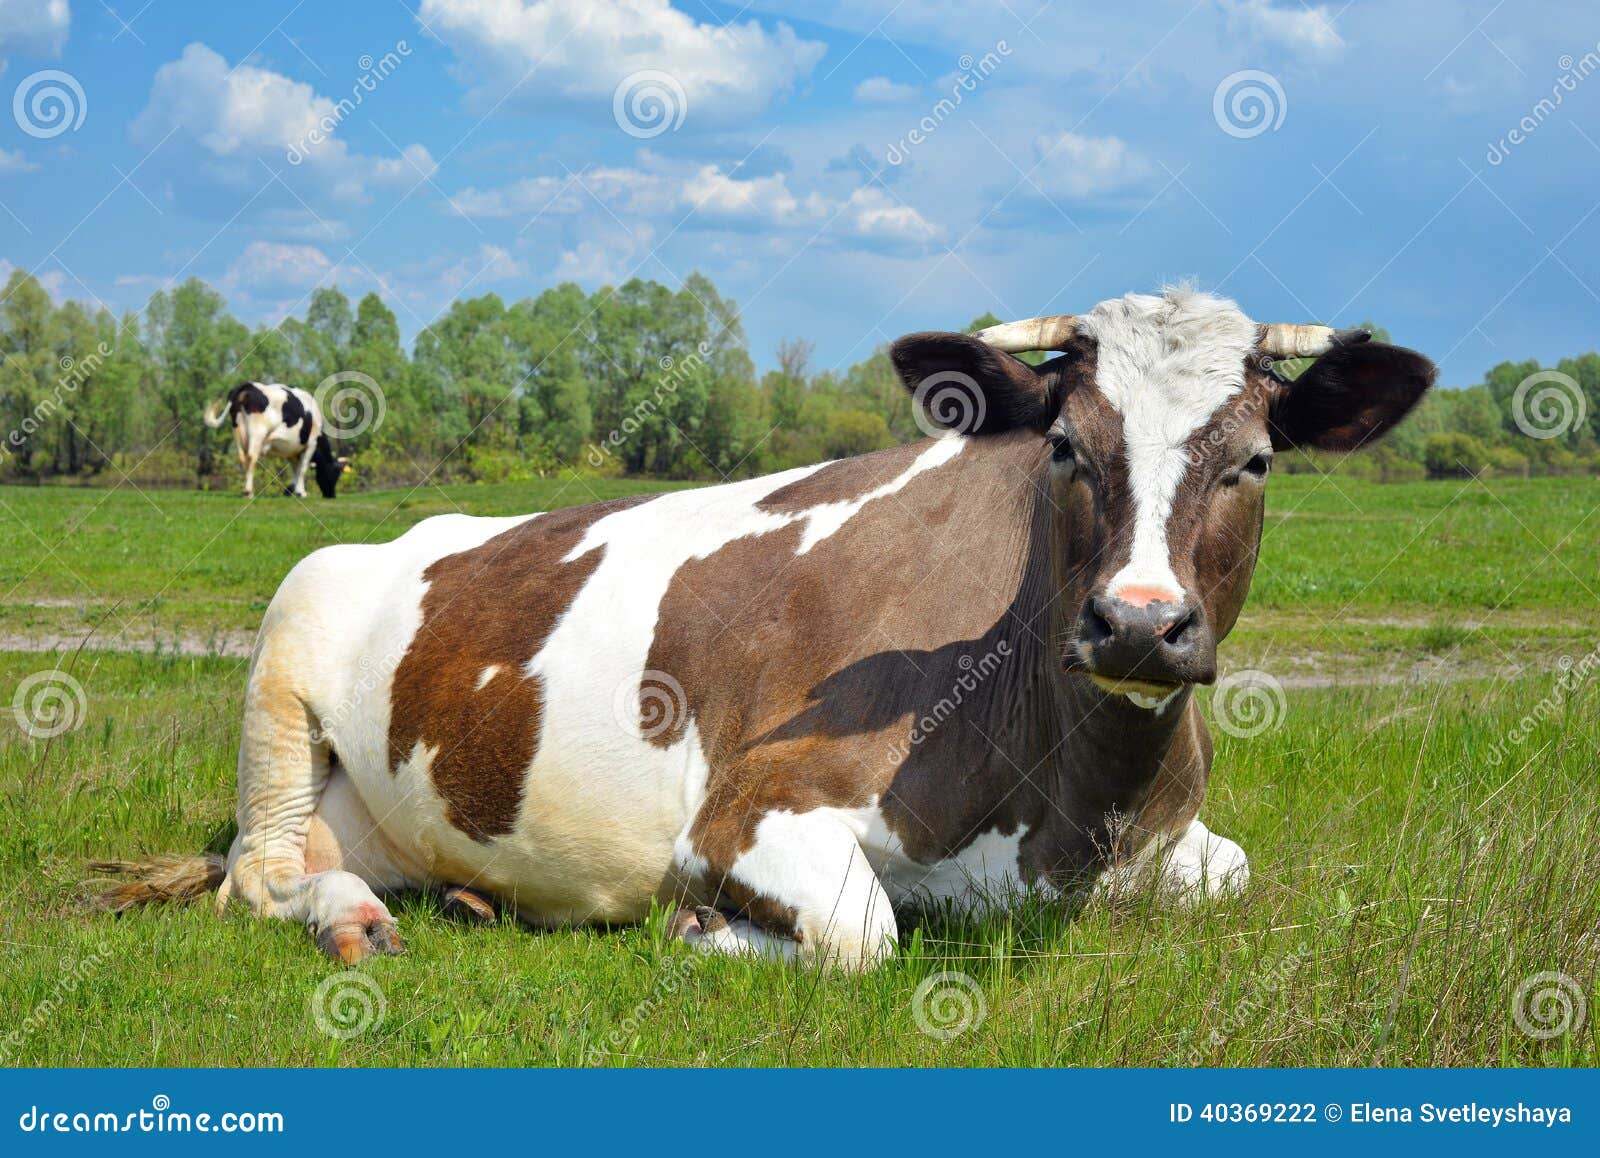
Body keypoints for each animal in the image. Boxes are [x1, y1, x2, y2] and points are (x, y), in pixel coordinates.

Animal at [203, 381, 348, 499]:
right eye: (335, 473)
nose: (332, 495)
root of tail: (248, 385)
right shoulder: (311, 444)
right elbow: (302, 469)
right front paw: (301, 492)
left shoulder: (292, 451)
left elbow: (295, 469)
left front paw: (291, 491)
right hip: (257, 431)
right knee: (251, 456)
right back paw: (249, 491)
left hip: (238, 432)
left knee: (242, 458)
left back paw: (245, 490)